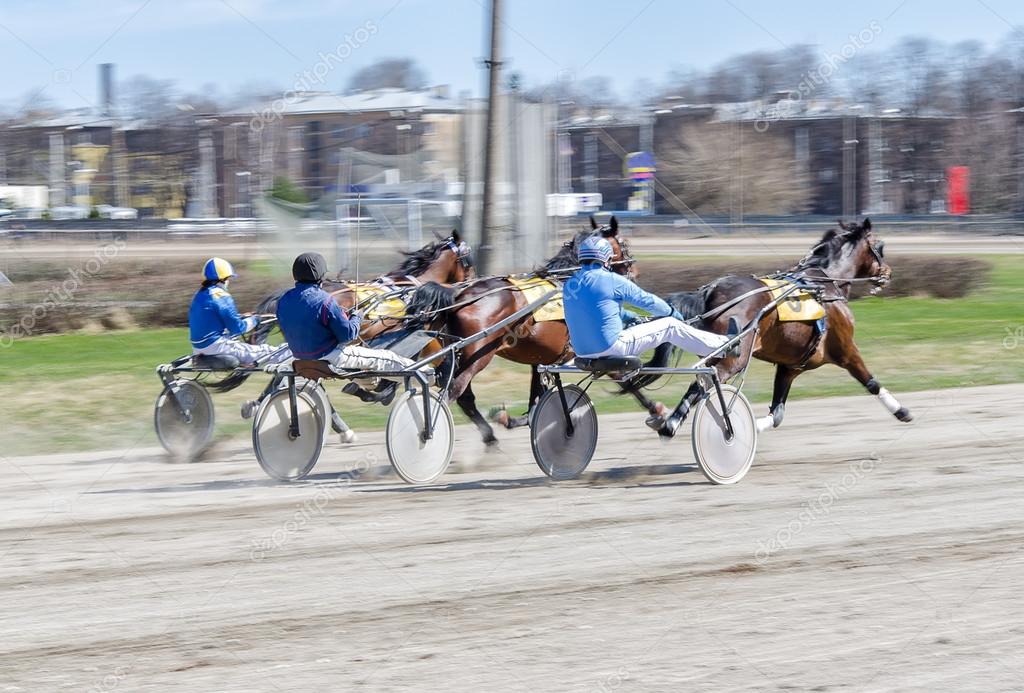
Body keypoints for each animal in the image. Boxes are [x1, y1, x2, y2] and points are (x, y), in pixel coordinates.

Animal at [406, 216, 636, 446]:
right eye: (624, 245)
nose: (634, 271)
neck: (568, 280)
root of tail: (458, 296)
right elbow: (626, 379)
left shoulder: (541, 358)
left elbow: (535, 399)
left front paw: (512, 418)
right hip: (477, 356)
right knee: (453, 392)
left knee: (464, 397)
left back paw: (489, 436)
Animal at [631, 218, 911, 437]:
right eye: (880, 247)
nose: (888, 273)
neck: (824, 285)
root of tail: (712, 290)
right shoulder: (846, 350)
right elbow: (871, 382)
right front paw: (901, 410)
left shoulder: (790, 366)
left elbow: (777, 413)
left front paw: (754, 427)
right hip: (734, 358)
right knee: (702, 384)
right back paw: (671, 424)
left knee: (702, 382)